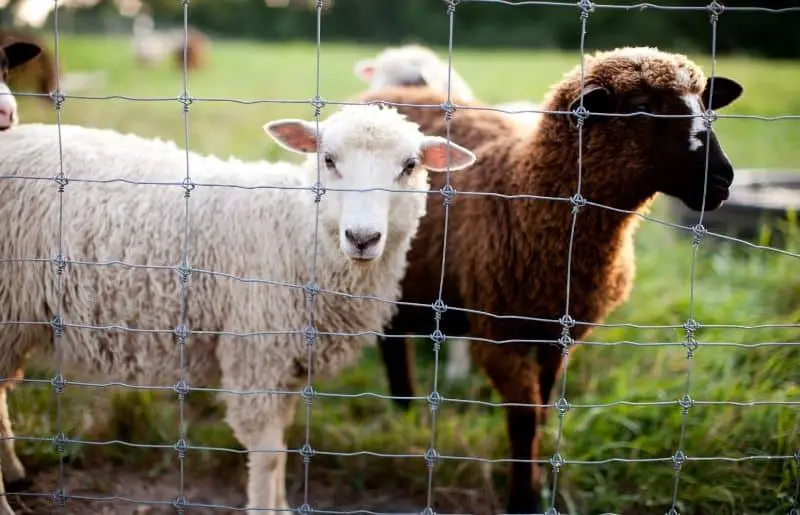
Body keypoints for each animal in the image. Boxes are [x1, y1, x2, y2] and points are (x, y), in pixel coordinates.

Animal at [0, 104, 477, 515]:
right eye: (328, 159)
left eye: (409, 165)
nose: (362, 238)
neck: (296, 232)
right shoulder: (255, 353)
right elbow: (267, 456)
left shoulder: (286, 364)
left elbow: (282, 446)